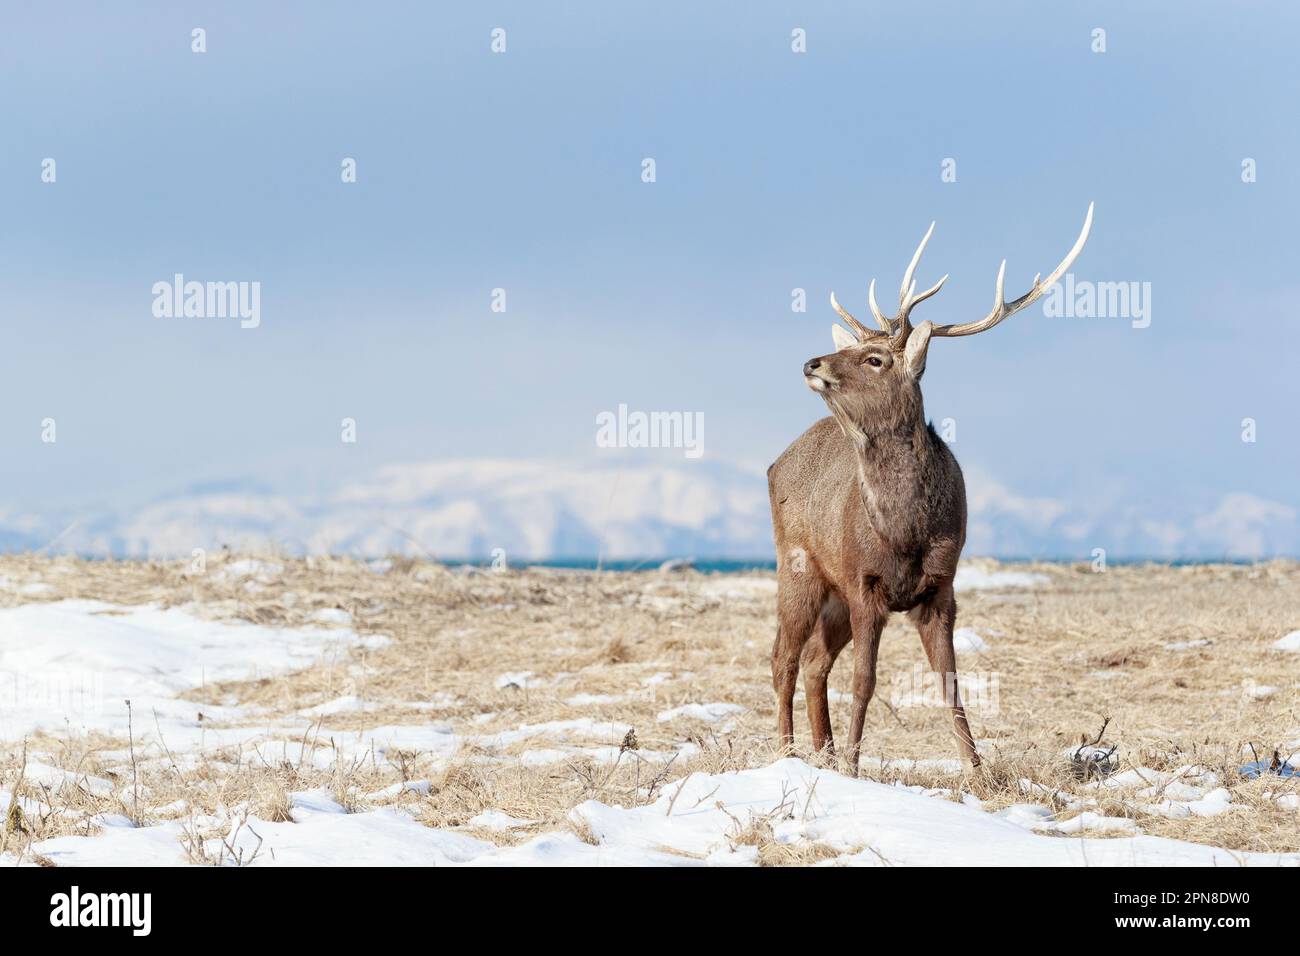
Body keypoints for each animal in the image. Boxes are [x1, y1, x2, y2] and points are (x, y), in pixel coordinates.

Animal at [767, 204, 1093, 773]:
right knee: (782, 658)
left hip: (831, 590)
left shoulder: (942, 586)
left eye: (874, 358)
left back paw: (820, 753)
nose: (812, 362)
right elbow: (865, 681)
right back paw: (789, 754)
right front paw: (854, 767)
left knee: (811, 661)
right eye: (856, 347)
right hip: (799, 563)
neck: (905, 532)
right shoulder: (865, 583)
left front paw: (979, 772)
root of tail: (775, 462)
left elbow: (951, 684)